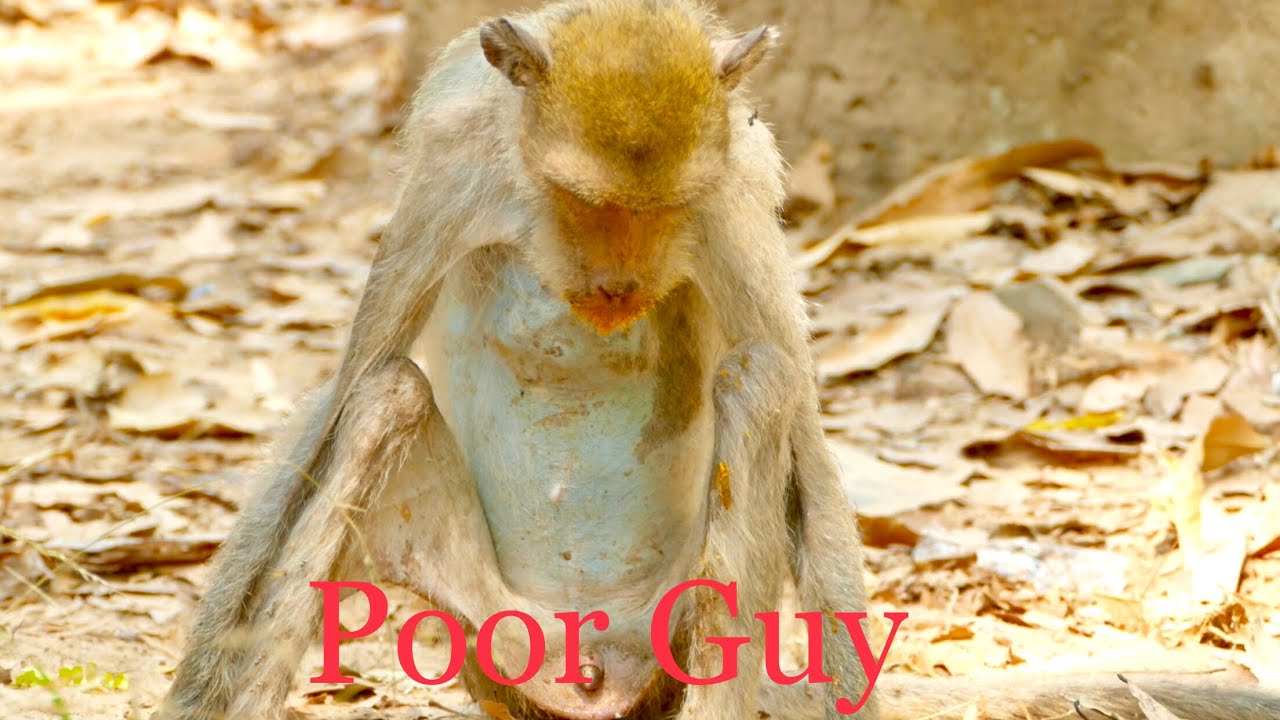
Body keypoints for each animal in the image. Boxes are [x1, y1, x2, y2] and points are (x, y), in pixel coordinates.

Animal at [154, 2, 1280, 720]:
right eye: (590, 203)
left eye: (661, 210)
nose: (617, 284)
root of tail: (595, 662)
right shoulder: (448, 167)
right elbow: (354, 384)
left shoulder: (731, 192)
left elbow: (803, 430)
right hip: (495, 640)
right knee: (386, 396)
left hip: (672, 634)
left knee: (758, 383)